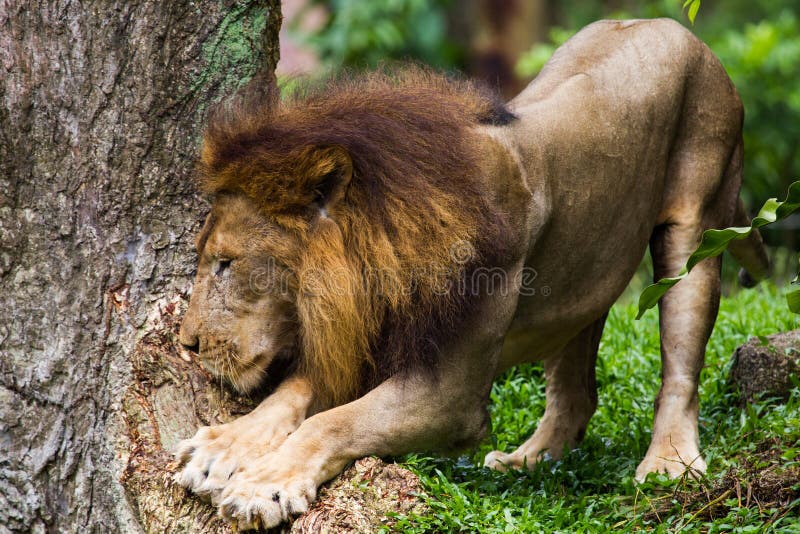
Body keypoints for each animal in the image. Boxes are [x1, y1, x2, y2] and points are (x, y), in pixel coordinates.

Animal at [174, 19, 769, 530]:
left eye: (226, 264)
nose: (187, 345)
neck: (376, 268)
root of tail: (669, 25)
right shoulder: (368, 339)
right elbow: (290, 395)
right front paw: (221, 447)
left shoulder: (450, 394)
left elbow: (335, 420)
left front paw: (264, 483)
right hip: (581, 277)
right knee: (576, 389)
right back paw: (530, 460)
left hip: (697, 223)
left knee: (681, 365)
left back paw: (669, 463)